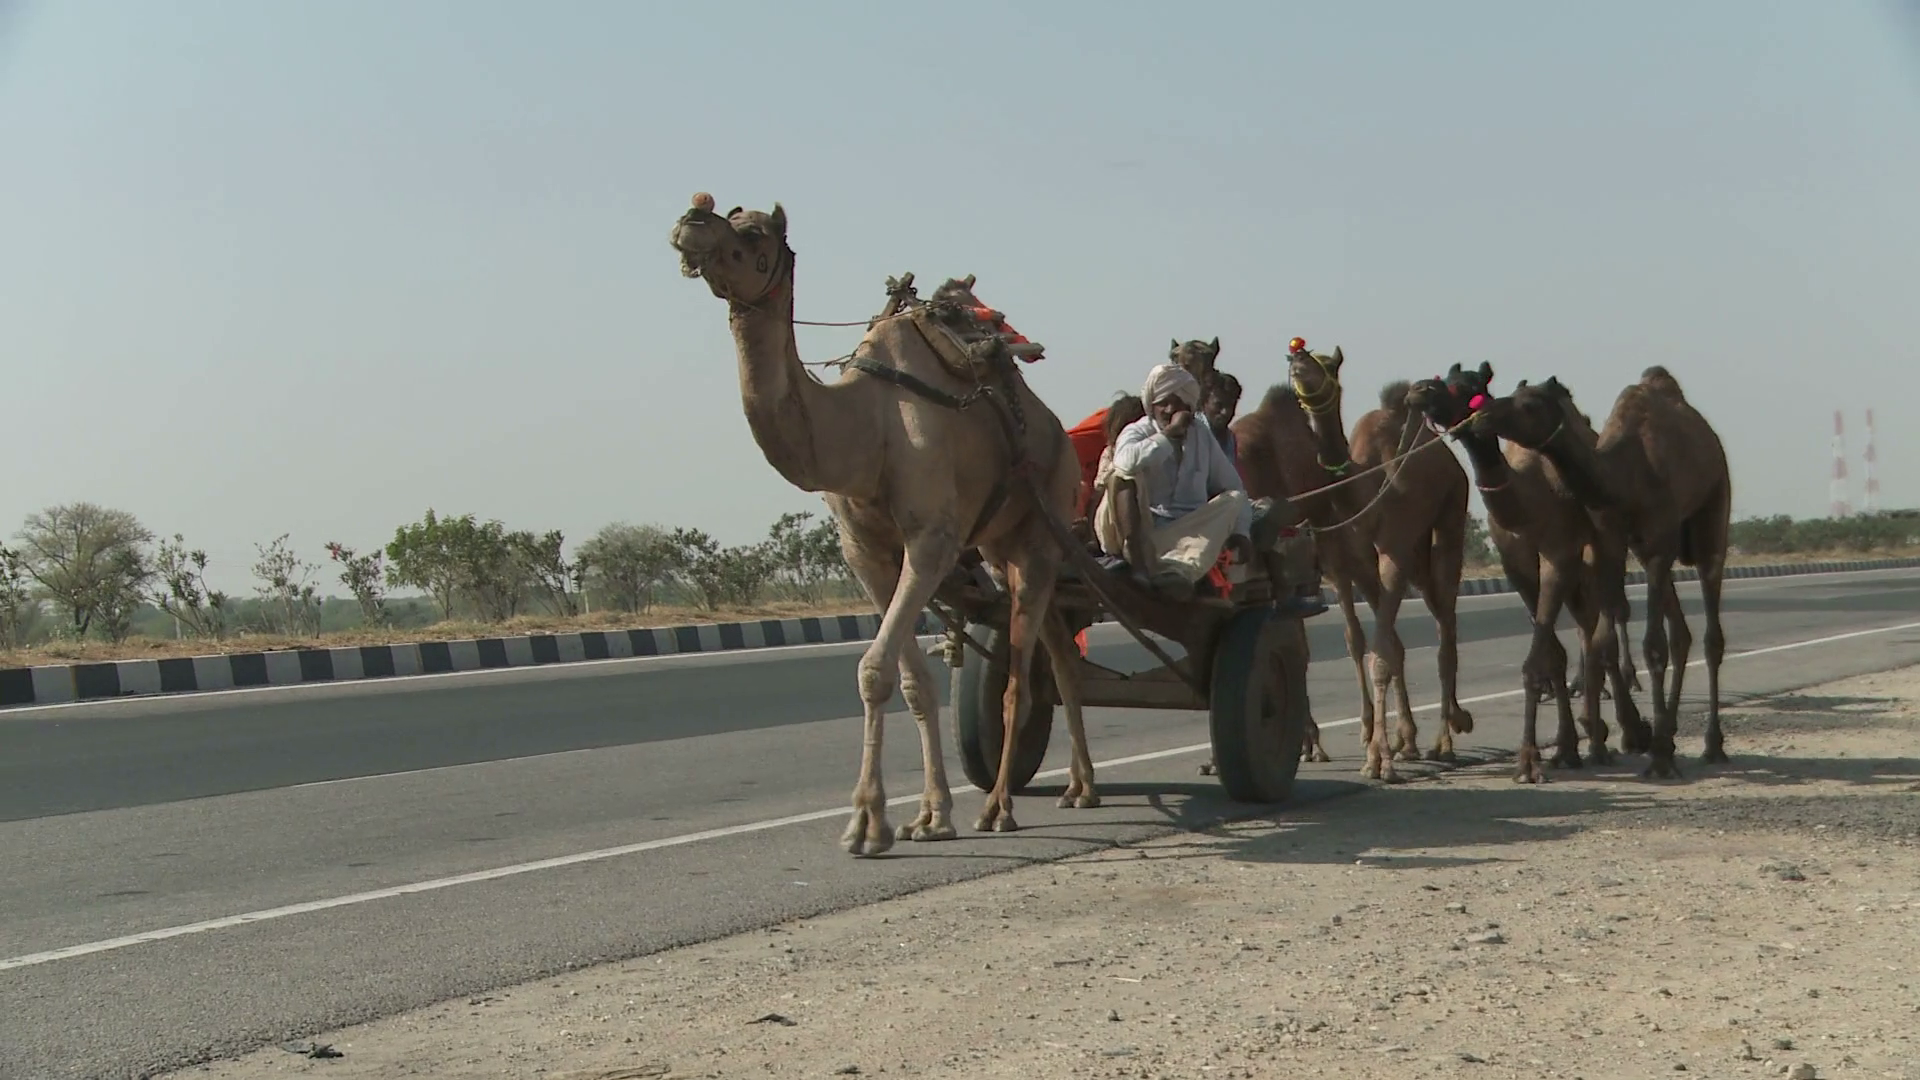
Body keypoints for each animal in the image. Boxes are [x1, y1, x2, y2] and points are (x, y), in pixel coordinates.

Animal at [667, 193, 1099, 855]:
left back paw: (998, 806)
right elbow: (914, 679)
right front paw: (929, 815)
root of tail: (1057, 431)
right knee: (1059, 657)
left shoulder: (933, 539)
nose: (691, 221)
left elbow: (873, 670)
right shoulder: (864, 551)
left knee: (1019, 679)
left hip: (1043, 522)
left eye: (753, 233)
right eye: (723, 215)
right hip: (1006, 546)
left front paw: (868, 822)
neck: (865, 427)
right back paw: (1080, 787)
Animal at [1285, 346, 1475, 782]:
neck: (1362, 490)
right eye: (1299, 354)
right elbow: (1372, 646)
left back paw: (1445, 741)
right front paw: (1383, 745)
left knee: (1446, 629)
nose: (1297, 359)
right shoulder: (1351, 562)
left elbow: (1382, 656)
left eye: (1328, 363)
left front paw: (1380, 759)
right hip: (1415, 555)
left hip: (1449, 517)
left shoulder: (1393, 551)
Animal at [1405, 362, 1652, 781]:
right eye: (1445, 378)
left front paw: (1528, 761)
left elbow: (1538, 661)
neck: (1529, 501)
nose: (1419, 390)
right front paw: (1562, 749)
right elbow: (1551, 656)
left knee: (1604, 632)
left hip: (1603, 546)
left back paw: (1620, 734)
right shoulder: (1517, 564)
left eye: (1467, 387)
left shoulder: (1560, 554)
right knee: (1588, 632)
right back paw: (1591, 733)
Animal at [1470, 368, 1732, 778]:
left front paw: (1658, 757)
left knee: (1710, 629)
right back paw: (1667, 730)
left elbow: (1652, 647)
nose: (1481, 416)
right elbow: (1607, 636)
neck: (1624, 475)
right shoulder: (1611, 540)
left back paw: (1712, 744)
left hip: (1713, 511)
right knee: (1681, 634)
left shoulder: (1658, 542)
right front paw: (1642, 741)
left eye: (1530, 404)